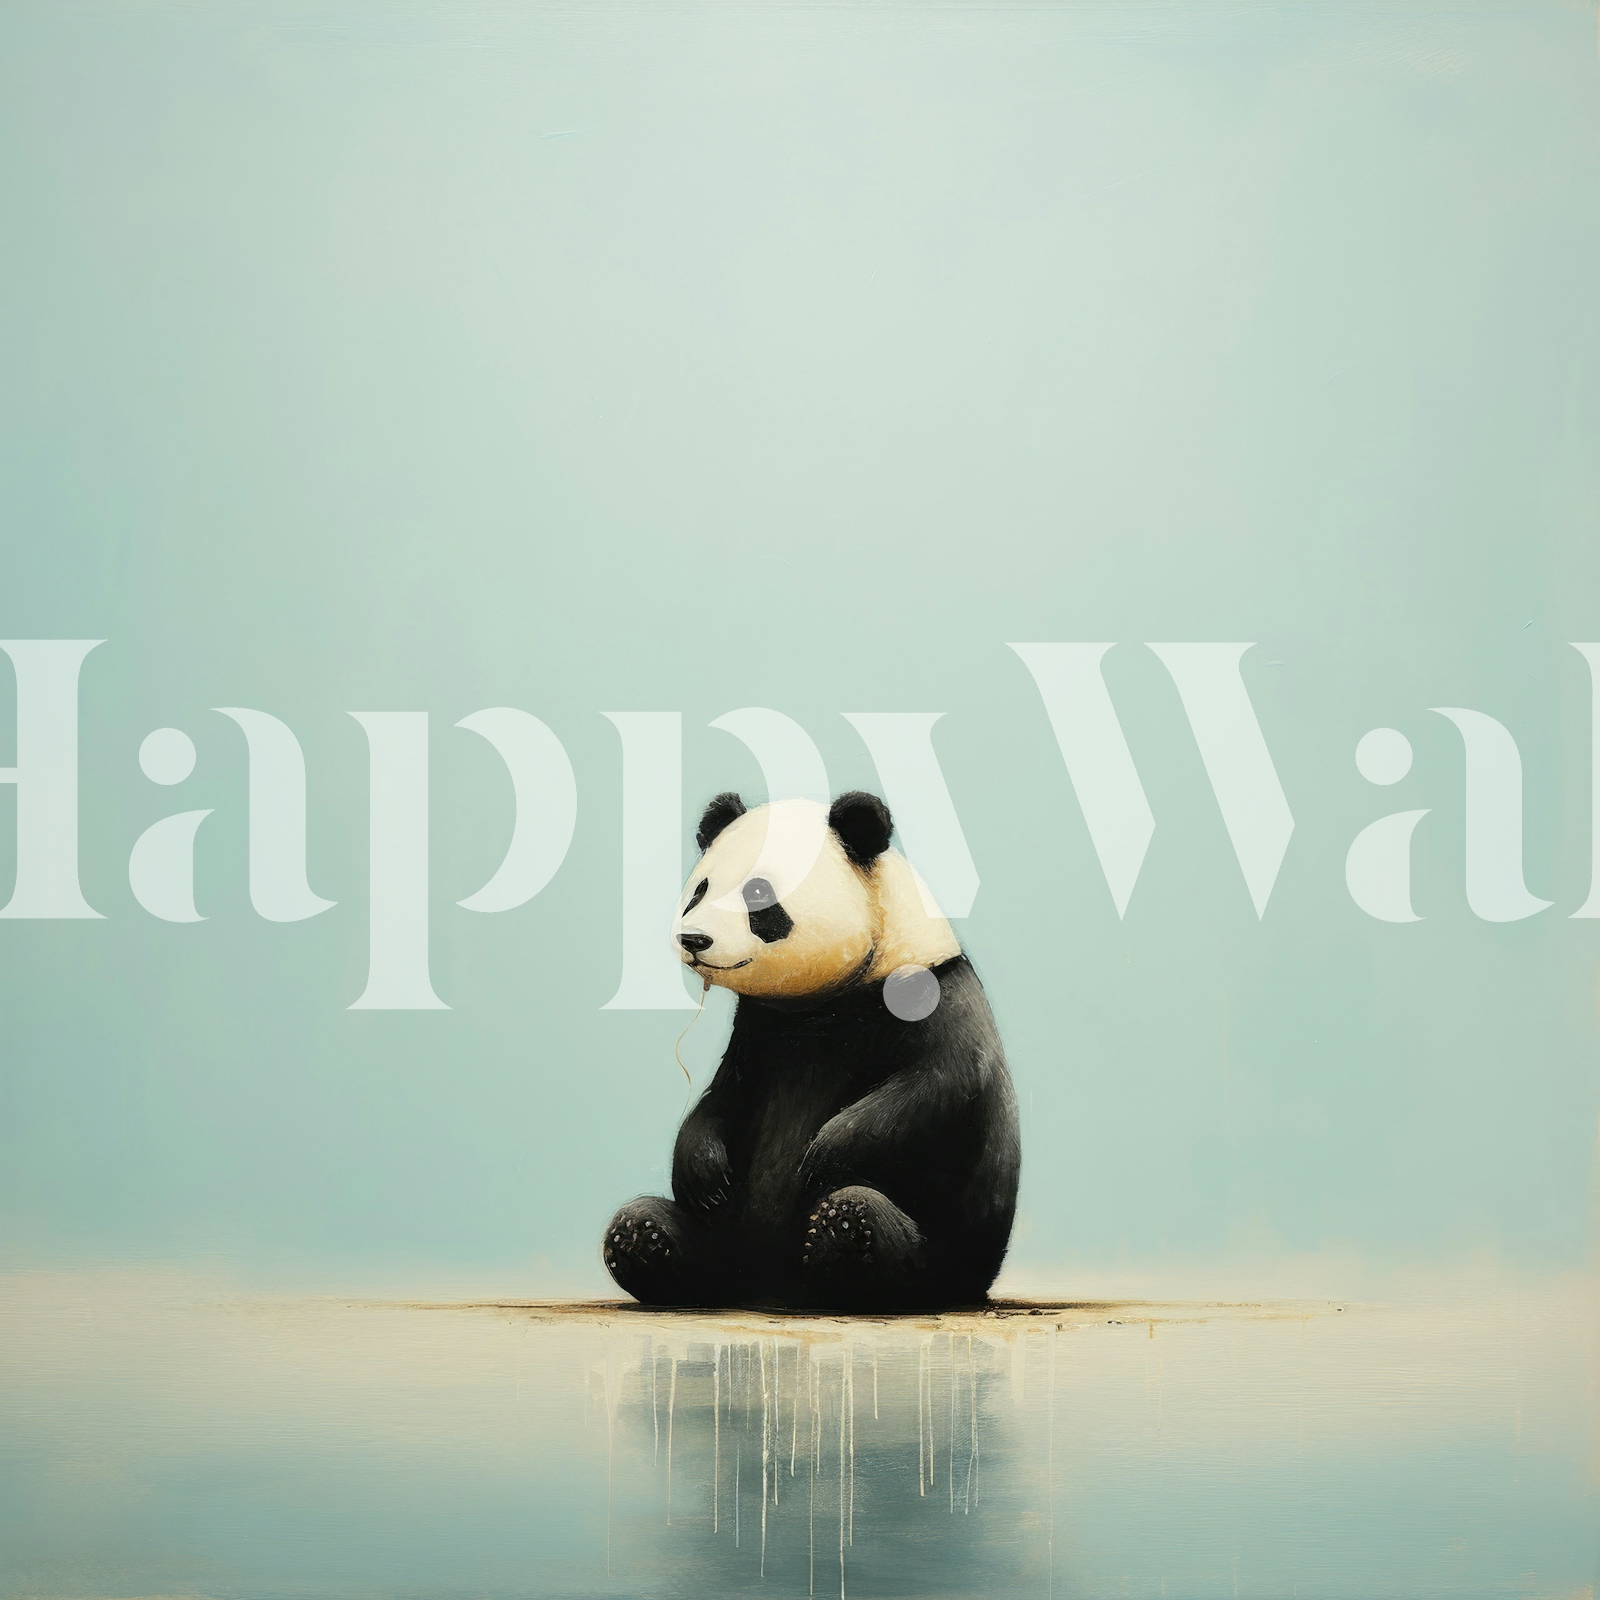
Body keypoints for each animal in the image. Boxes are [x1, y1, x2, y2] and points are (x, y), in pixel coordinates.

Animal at [602, 789, 1021, 1312]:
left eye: (758, 894)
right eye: (699, 889)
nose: (694, 939)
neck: (822, 1002)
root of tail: (768, 1288)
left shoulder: (933, 995)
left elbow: (933, 1090)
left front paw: (818, 1161)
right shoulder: (758, 1033)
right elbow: (721, 1099)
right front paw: (706, 1175)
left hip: (945, 1257)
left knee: (862, 1215)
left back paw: (842, 1262)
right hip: (722, 1244)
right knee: (643, 1221)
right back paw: (652, 1247)